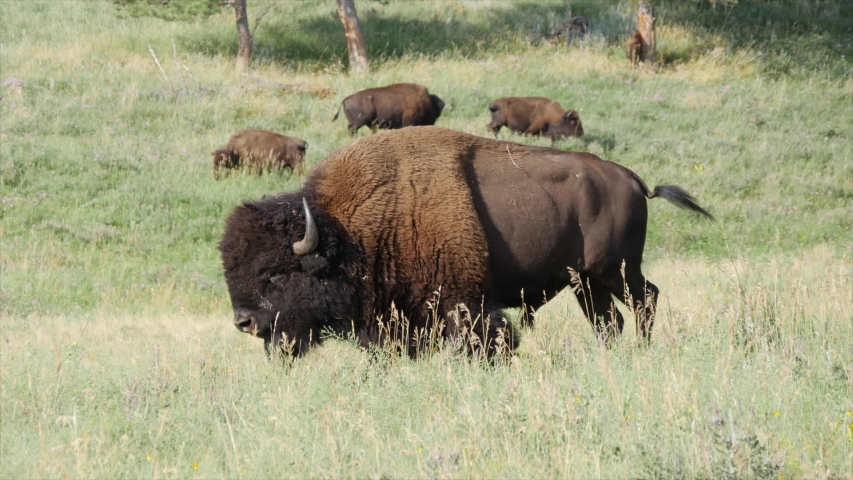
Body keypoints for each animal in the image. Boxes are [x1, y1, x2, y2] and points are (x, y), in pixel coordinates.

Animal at [219, 127, 713, 359]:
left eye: (275, 272)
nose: (243, 322)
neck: (348, 231)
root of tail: (632, 179)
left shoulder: (465, 303)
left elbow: (493, 340)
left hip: (616, 271)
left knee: (646, 301)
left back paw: (643, 351)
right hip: (585, 282)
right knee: (610, 320)